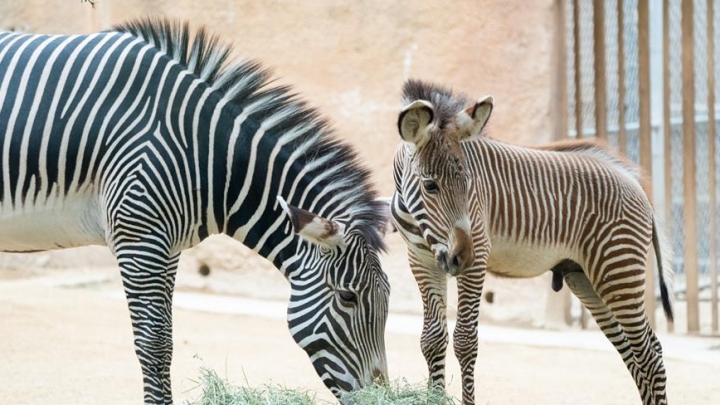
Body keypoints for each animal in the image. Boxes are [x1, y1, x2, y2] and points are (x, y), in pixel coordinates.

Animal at [0, 19, 391, 404]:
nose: (379, 395)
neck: (205, 152)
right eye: (347, 297)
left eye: (388, 297)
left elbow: (167, 340)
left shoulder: (166, 247)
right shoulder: (138, 239)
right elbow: (153, 345)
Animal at [390, 80, 674, 405]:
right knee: (634, 353)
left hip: (618, 270)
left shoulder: (477, 255)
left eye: (469, 183)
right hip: (586, 278)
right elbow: (432, 339)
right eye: (430, 186)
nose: (461, 257)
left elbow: (465, 340)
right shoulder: (421, 260)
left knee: (649, 354)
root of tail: (633, 179)